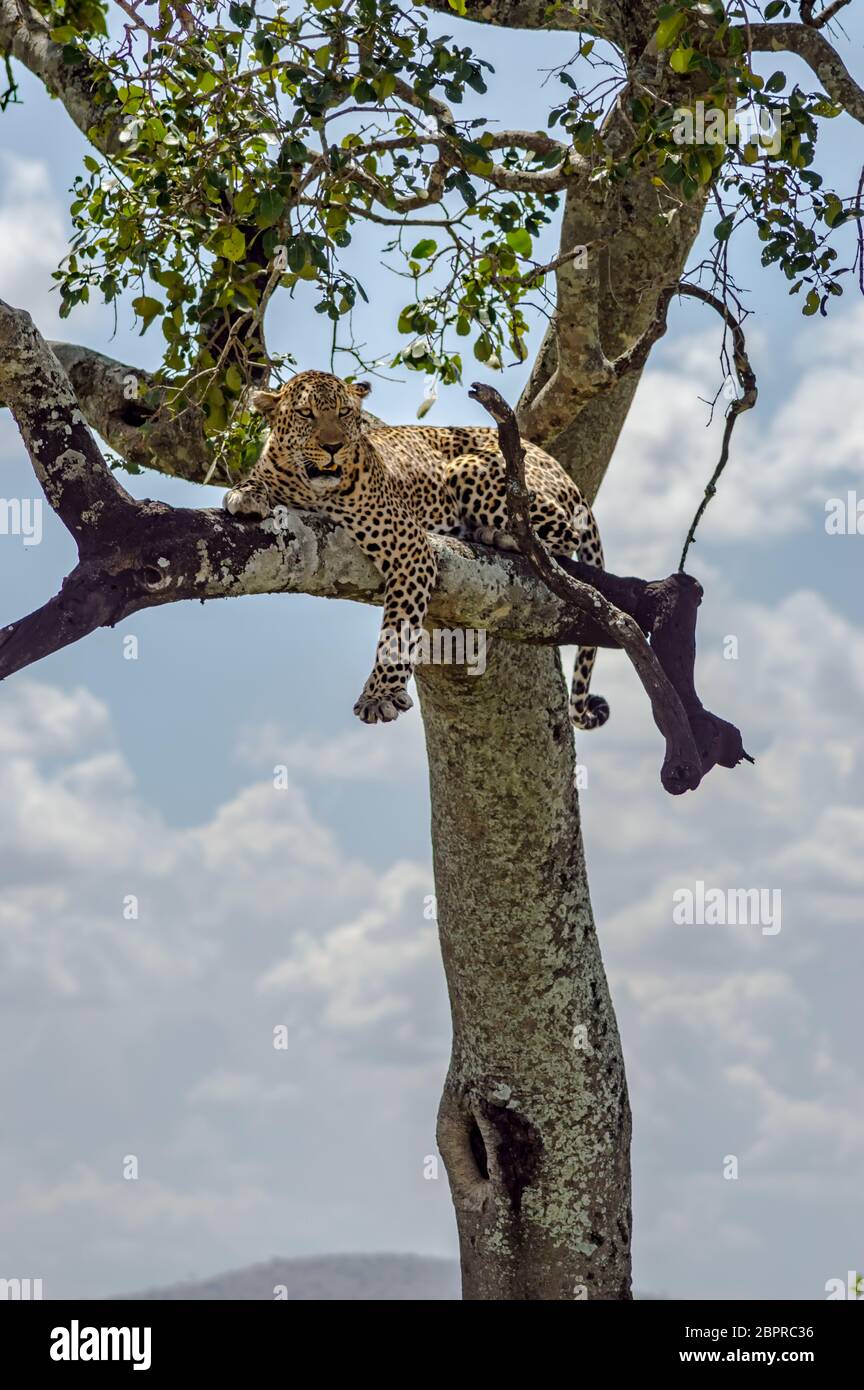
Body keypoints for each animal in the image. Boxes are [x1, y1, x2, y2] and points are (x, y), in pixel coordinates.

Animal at [223, 370, 609, 730]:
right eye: (306, 413)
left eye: (344, 412)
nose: (334, 447)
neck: (311, 490)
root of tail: (558, 466)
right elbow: (255, 480)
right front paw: (245, 495)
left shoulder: (409, 547)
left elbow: (398, 627)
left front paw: (380, 695)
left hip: (468, 466)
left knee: (564, 533)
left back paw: (500, 535)